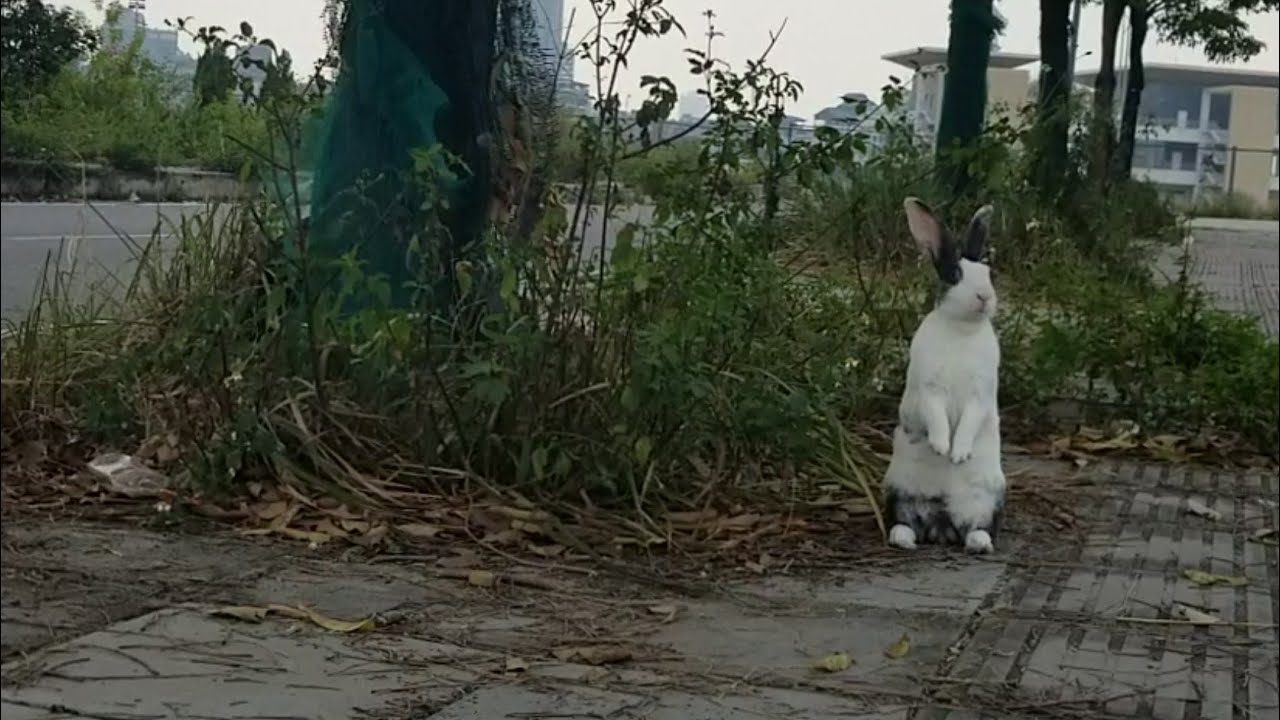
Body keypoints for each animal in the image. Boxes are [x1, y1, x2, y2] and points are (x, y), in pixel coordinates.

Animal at [883, 197, 1005, 555]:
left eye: (989, 274)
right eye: (954, 275)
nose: (984, 297)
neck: (961, 329)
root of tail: (942, 525)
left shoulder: (980, 395)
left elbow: (968, 421)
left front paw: (958, 453)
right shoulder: (929, 389)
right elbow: (936, 415)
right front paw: (940, 447)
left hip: (988, 499)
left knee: (978, 527)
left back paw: (979, 544)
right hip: (898, 491)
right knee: (904, 521)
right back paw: (903, 540)